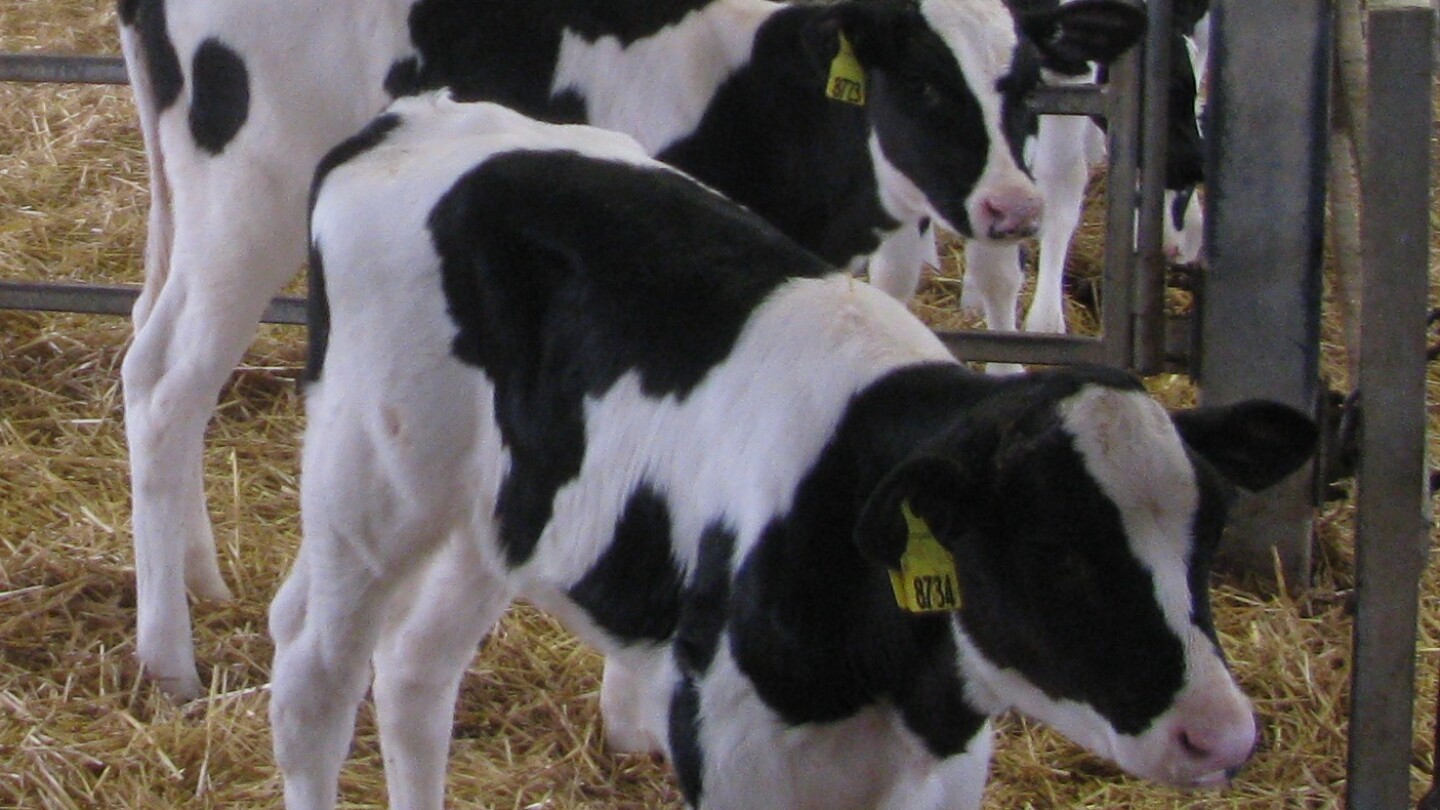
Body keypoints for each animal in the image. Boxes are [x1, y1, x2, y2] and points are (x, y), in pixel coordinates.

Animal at [117, 0, 1148, 699]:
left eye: (1021, 84)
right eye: (925, 83)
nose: (1011, 207)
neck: (765, 94)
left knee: (147, 357)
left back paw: (201, 578)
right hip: (251, 197)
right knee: (171, 389)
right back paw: (169, 656)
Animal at [268, 93, 1318, 810]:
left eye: (1206, 538)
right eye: (1055, 552)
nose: (1221, 736)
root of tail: (411, 122)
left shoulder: (943, 774)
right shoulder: (736, 755)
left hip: (510, 512)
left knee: (416, 667)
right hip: (372, 483)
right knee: (316, 678)